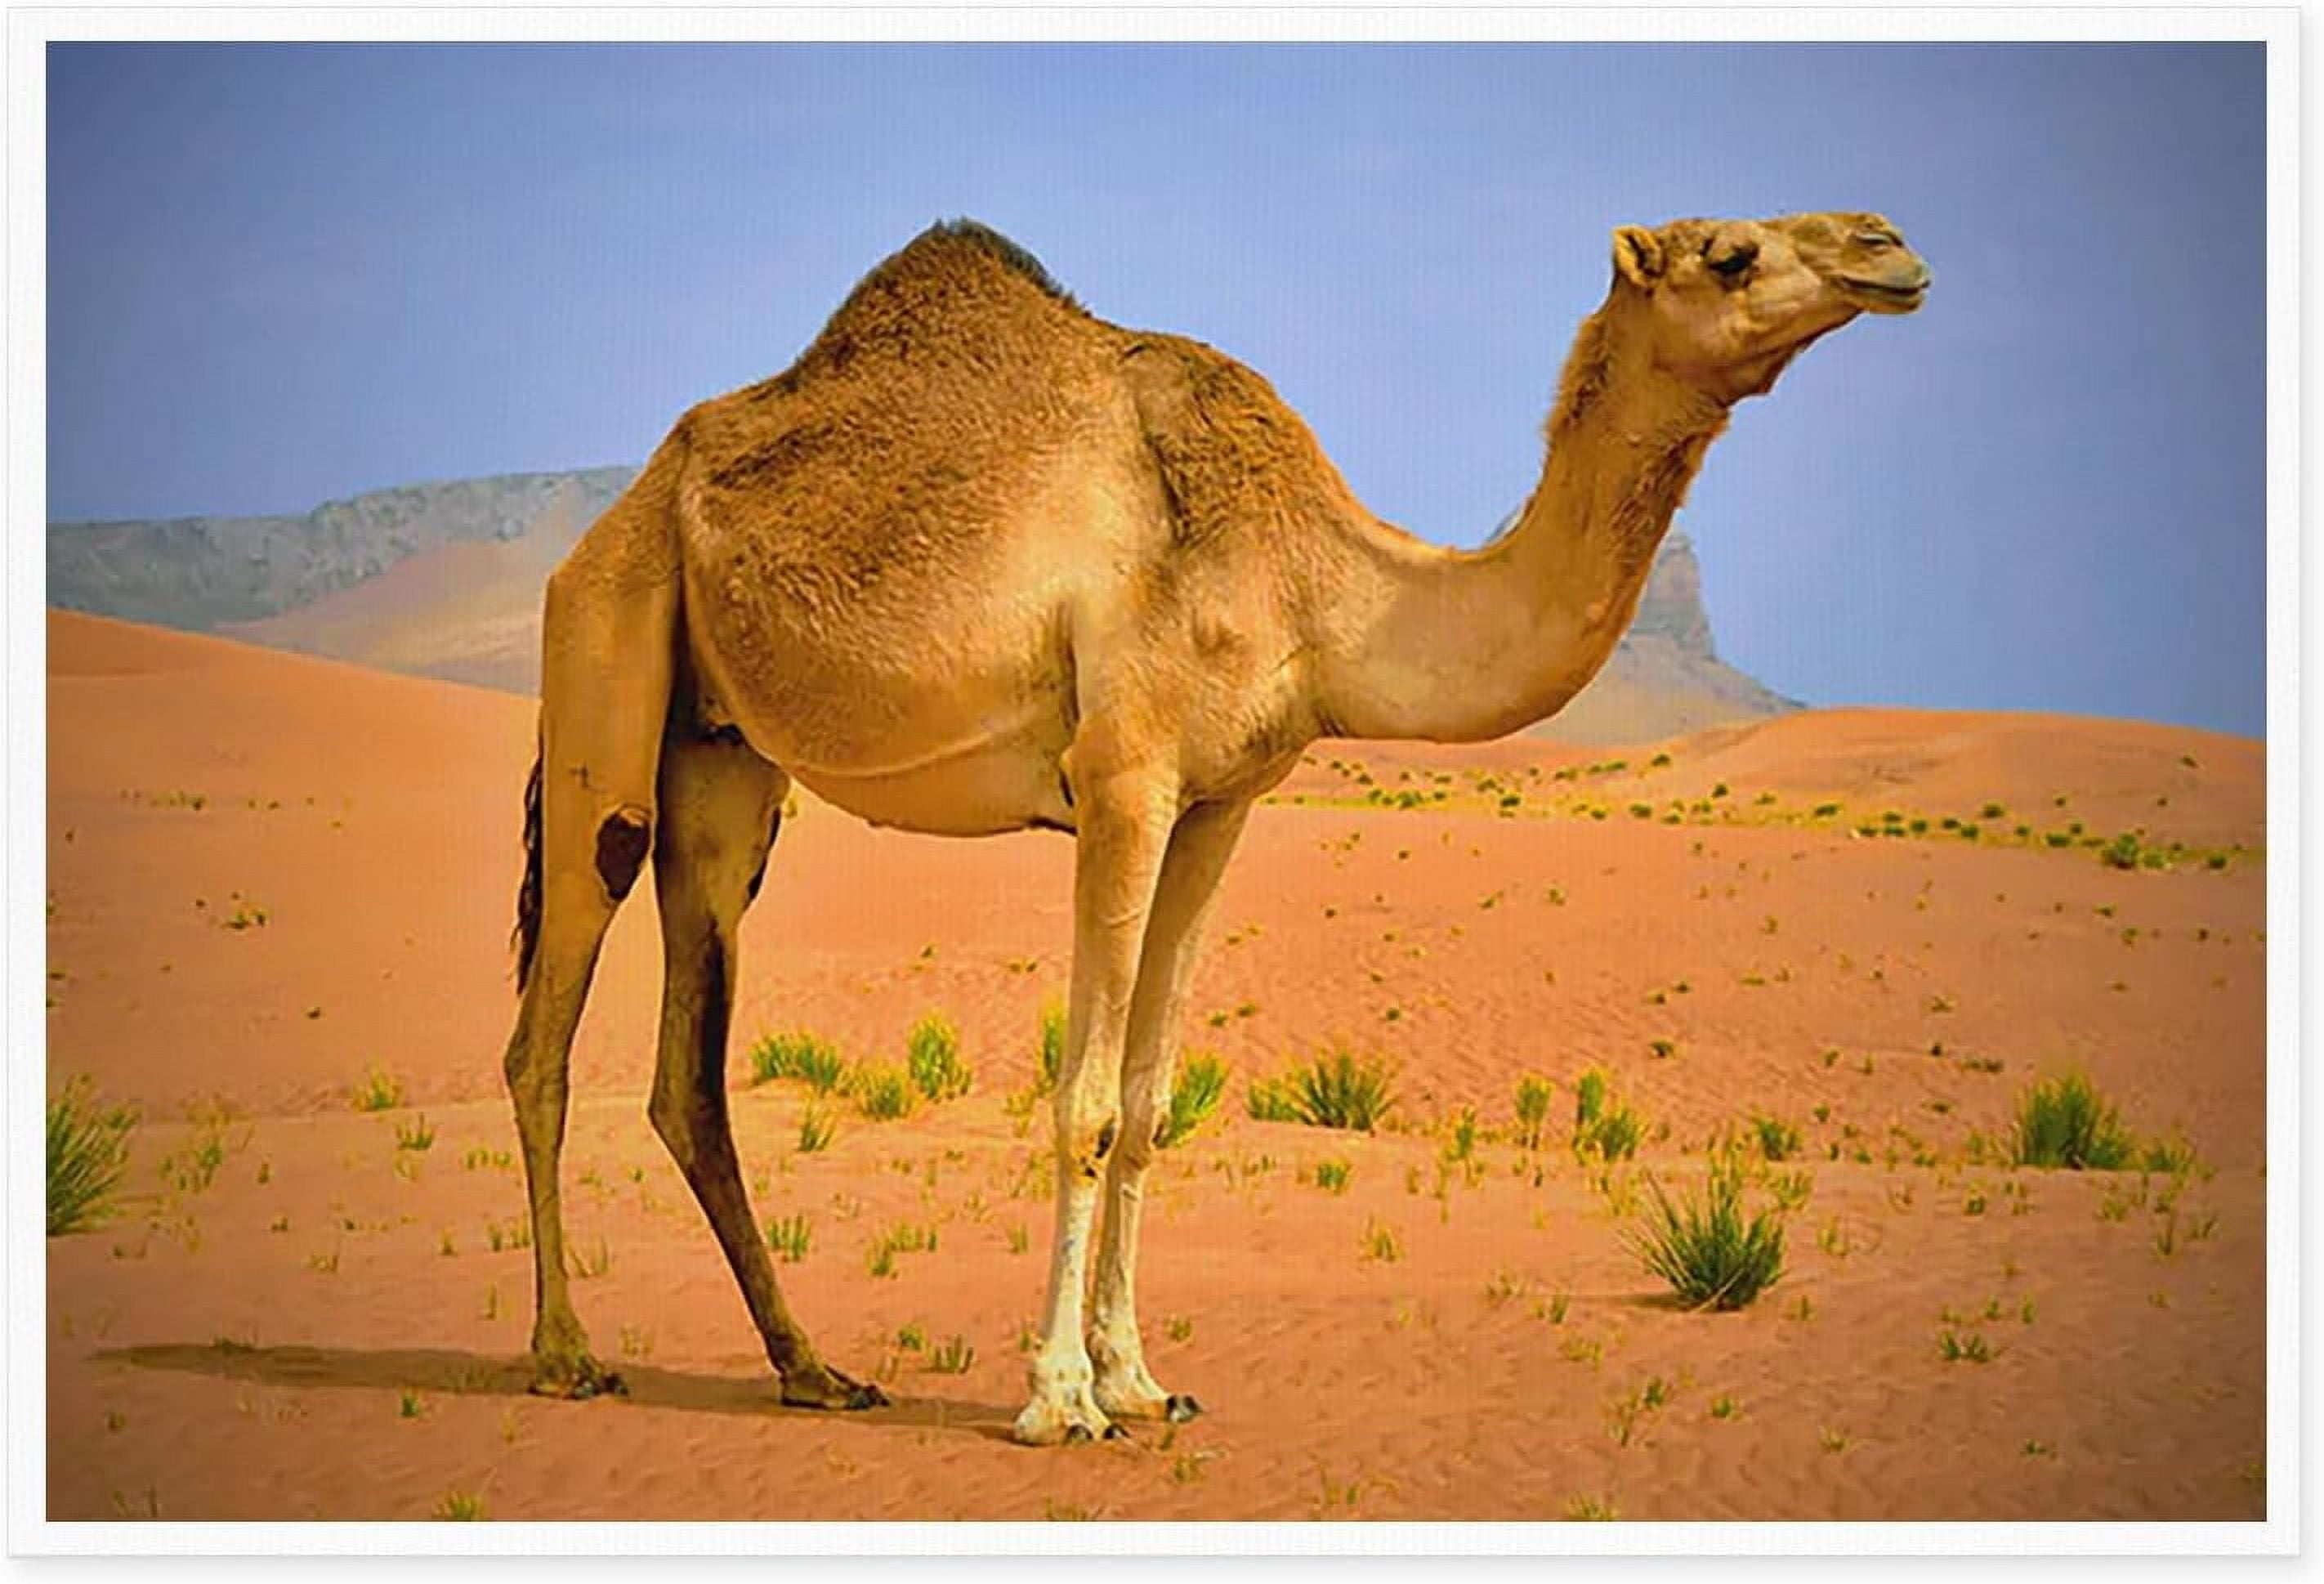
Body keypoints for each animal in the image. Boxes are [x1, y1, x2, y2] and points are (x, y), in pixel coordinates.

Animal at [499, 210, 1929, 1443]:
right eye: (1732, 252)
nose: (1890, 248)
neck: (1321, 585)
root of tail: (623, 507)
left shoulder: (1222, 800)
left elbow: (1147, 1102)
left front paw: (1142, 1381)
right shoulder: (1123, 776)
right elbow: (1081, 1100)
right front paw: (1059, 1399)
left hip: (726, 765)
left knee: (689, 1071)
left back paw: (813, 1369)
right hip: (608, 652)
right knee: (544, 1027)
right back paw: (566, 1352)